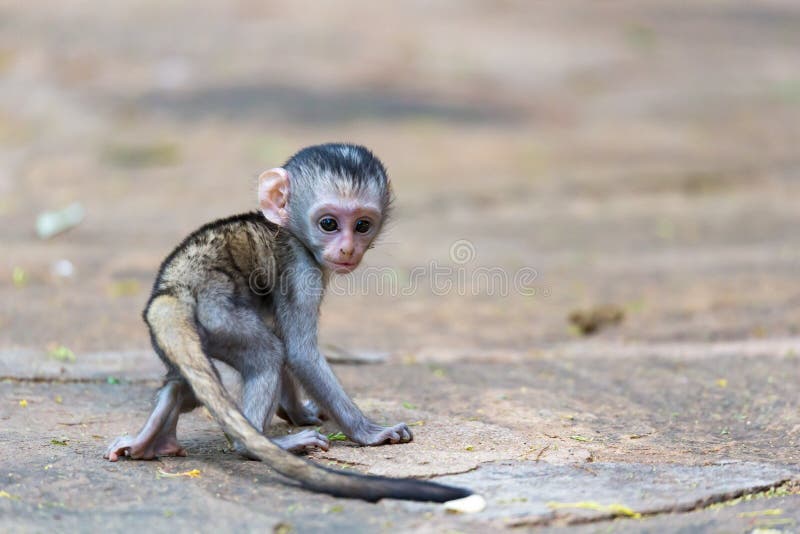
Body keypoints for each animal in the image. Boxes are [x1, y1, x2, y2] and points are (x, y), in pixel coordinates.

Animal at [103, 143, 472, 503]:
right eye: (329, 224)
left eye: (363, 226)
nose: (348, 249)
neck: (289, 230)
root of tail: (172, 291)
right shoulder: (301, 268)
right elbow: (298, 352)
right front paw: (369, 433)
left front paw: (297, 413)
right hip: (219, 314)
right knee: (267, 355)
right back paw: (259, 443)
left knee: (186, 385)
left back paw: (150, 437)